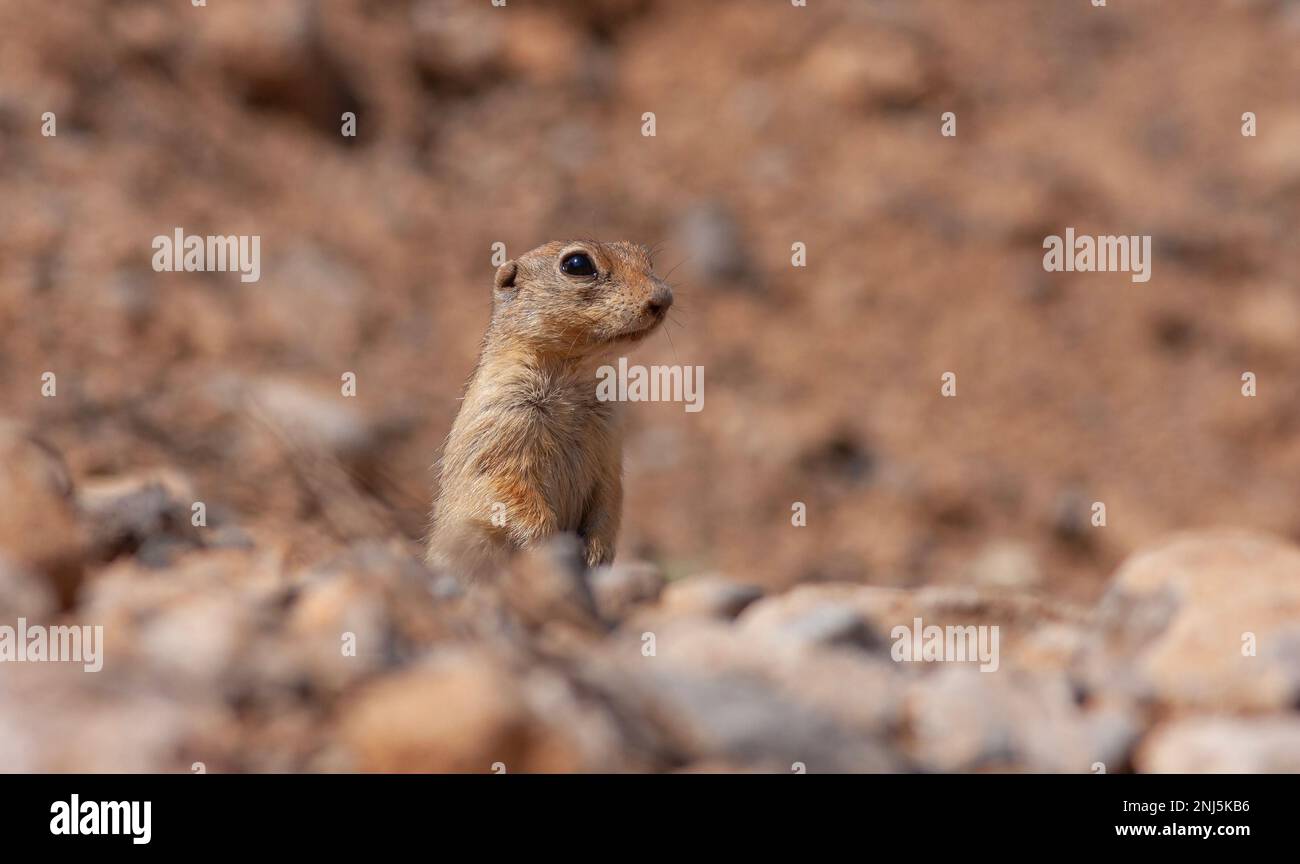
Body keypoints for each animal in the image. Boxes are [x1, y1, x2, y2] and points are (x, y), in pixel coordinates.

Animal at [427, 240, 672, 578]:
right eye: (577, 264)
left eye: (646, 258)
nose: (664, 297)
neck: (573, 375)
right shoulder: (503, 418)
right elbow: (506, 488)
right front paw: (547, 544)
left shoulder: (610, 436)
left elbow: (611, 492)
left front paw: (598, 553)